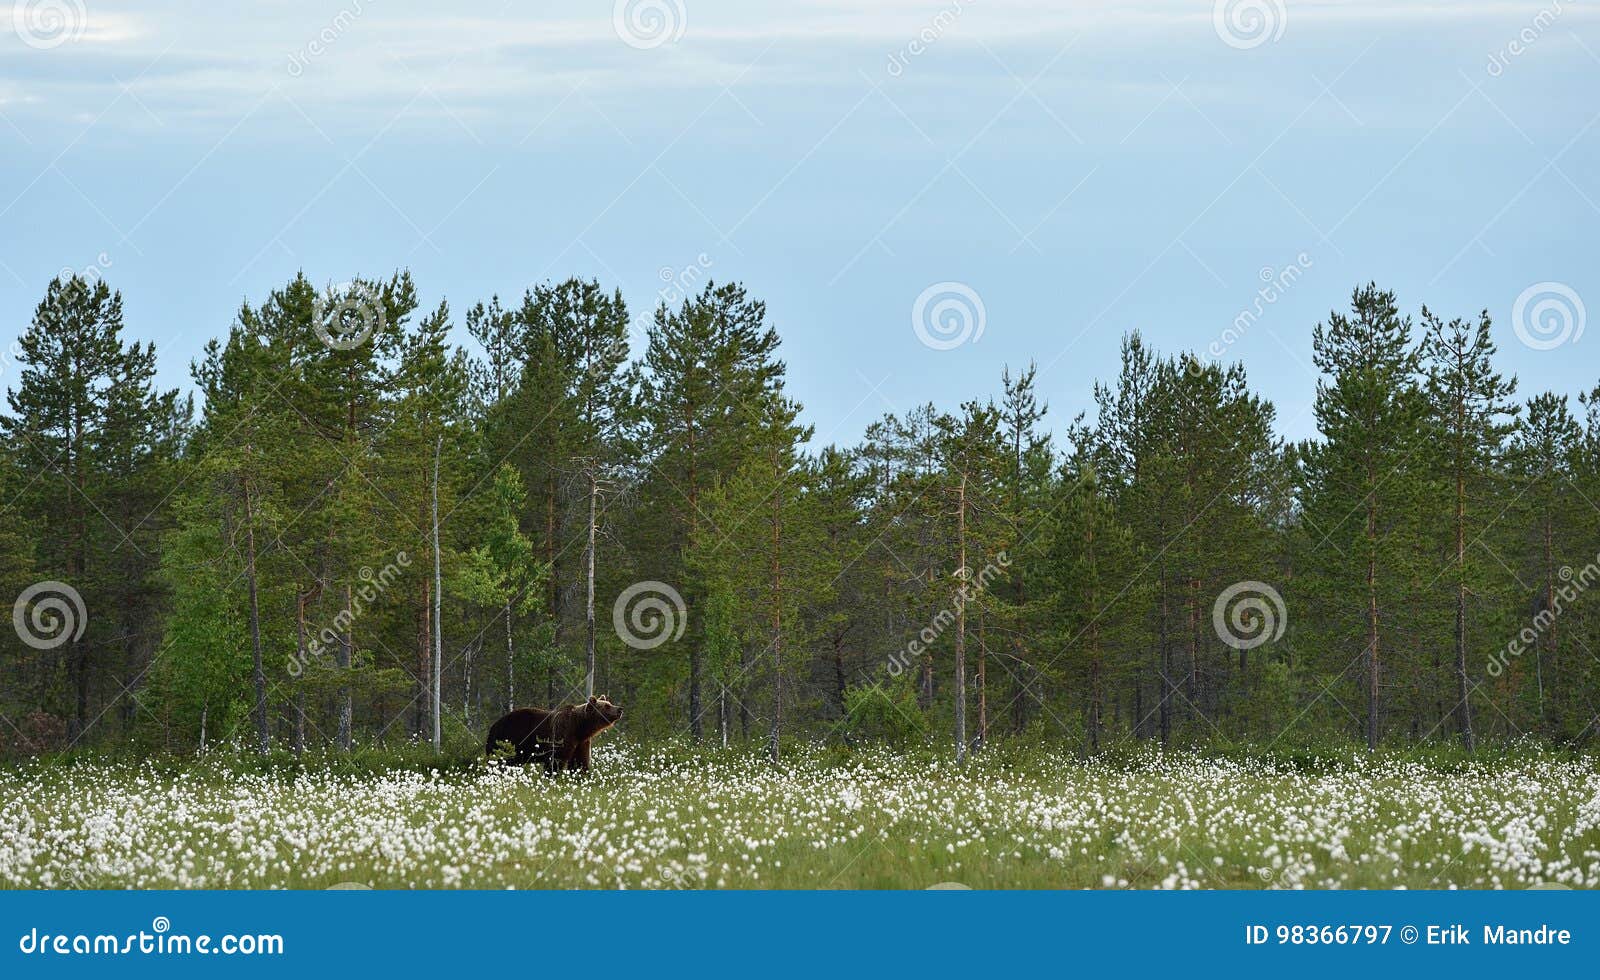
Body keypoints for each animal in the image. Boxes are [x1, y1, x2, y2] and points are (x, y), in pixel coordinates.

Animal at [486, 695, 623, 773]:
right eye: (606, 706)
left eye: (609, 703)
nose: (620, 709)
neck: (580, 728)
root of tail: (493, 725)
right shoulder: (562, 734)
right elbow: (555, 760)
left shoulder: (581, 742)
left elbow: (580, 761)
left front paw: (581, 775)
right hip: (508, 738)